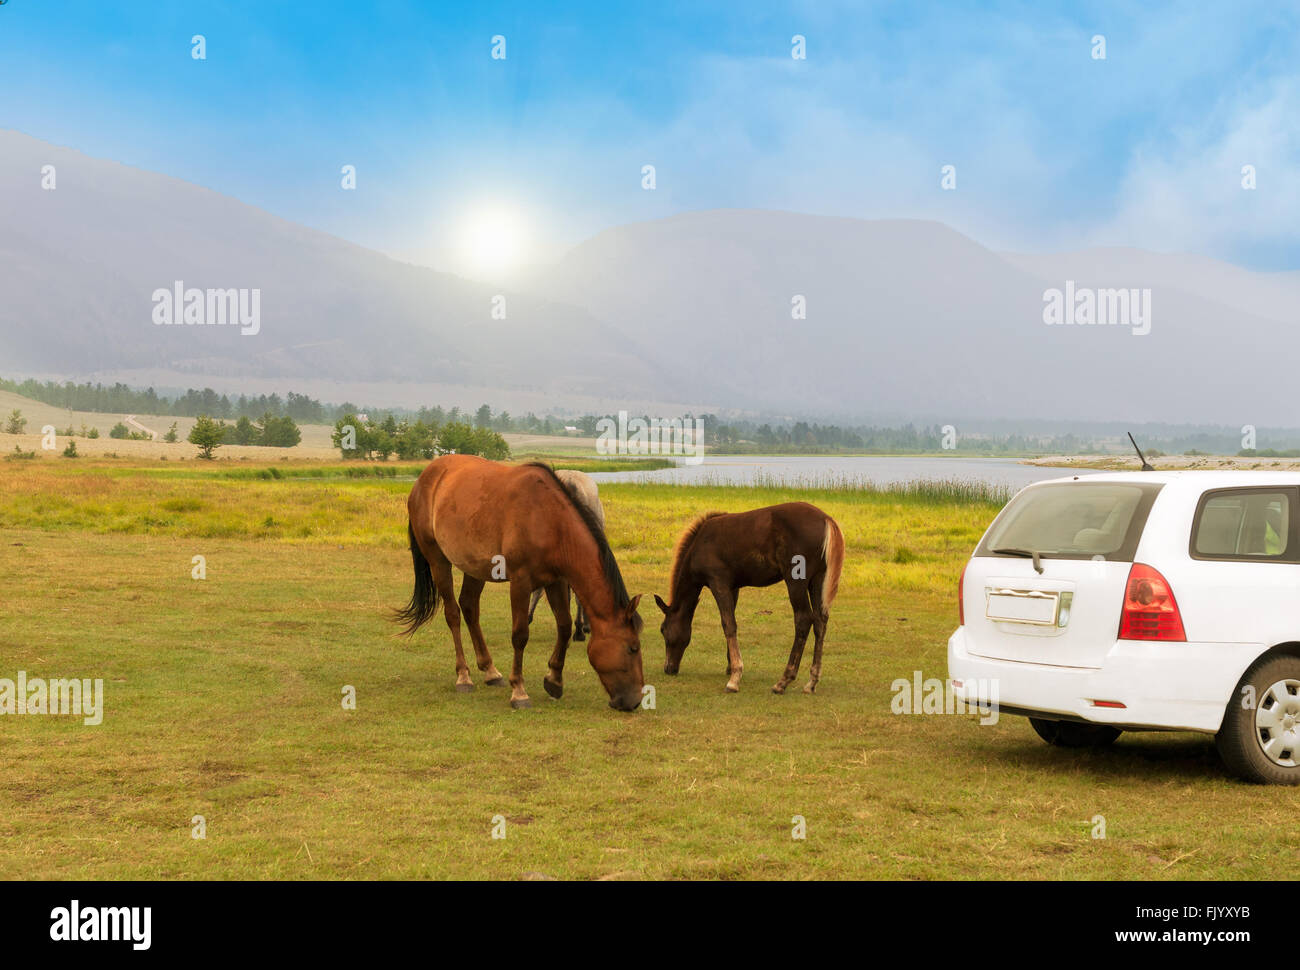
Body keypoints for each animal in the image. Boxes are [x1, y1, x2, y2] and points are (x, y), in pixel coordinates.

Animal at [653, 502, 844, 694]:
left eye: (662, 629)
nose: (669, 668)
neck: (699, 544)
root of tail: (826, 519)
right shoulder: (733, 587)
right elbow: (731, 620)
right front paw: (730, 666)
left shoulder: (718, 583)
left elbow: (728, 624)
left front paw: (734, 678)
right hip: (817, 580)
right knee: (820, 621)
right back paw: (811, 682)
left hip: (796, 582)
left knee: (803, 620)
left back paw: (783, 681)